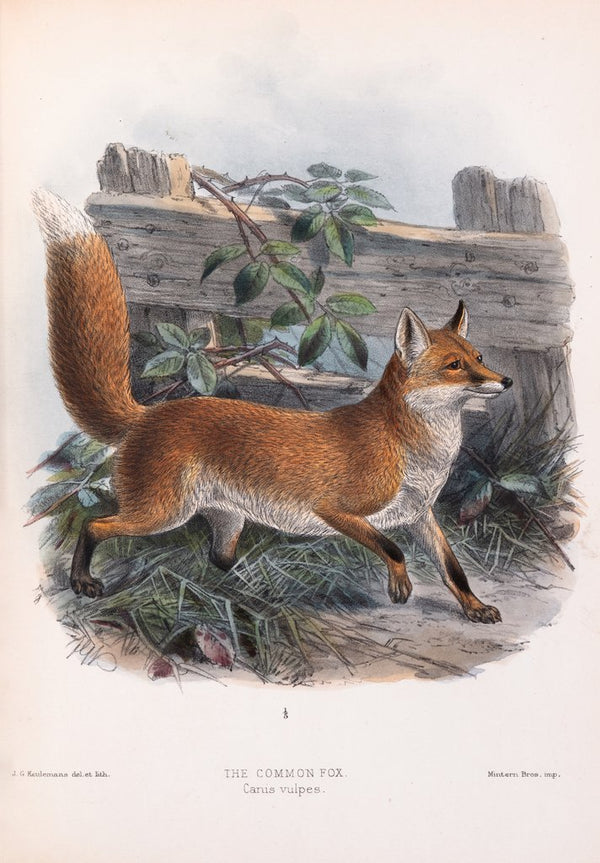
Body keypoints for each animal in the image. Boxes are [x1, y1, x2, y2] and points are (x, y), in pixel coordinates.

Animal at [32, 188, 513, 624]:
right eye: (454, 366)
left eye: (479, 358)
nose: (505, 381)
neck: (416, 450)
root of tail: (148, 414)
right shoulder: (336, 508)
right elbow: (393, 548)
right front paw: (400, 584)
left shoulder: (420, 515)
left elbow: (453, 569)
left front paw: (474, 608)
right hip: (163, 513)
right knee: (95, 526)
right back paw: (83, 581)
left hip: (225, 521)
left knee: (219, 558)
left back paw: (251, 593)